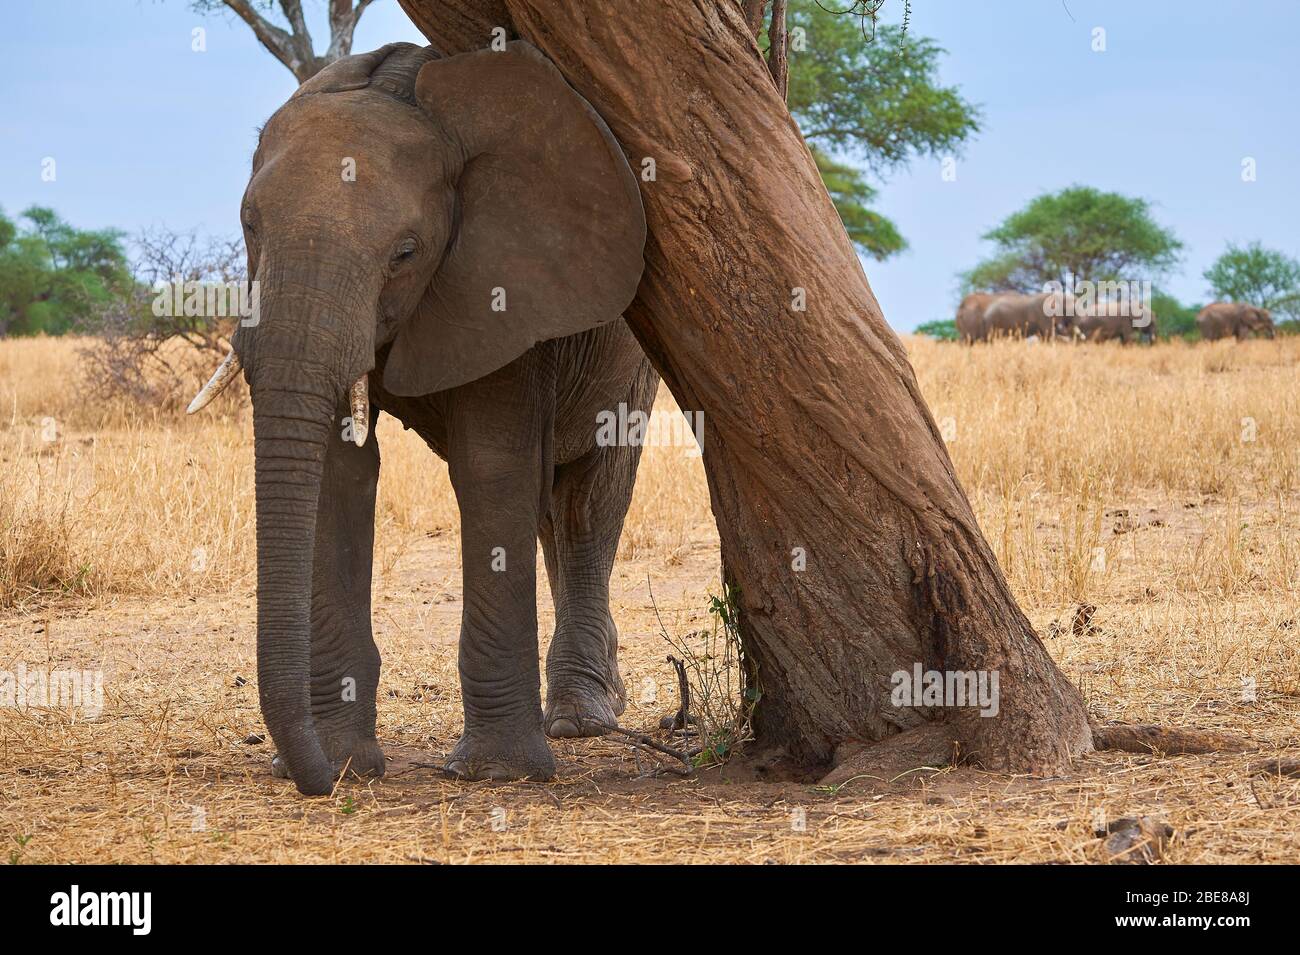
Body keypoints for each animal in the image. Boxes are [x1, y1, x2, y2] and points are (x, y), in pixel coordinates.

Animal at [187, 42, 658, 794]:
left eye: (406, 252)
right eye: (249, 224)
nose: (312, 778)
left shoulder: (505, 286)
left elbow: (491, 472)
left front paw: (499, 774)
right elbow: (341, 475)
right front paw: (346, 762)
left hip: (629, 359)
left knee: (589, 499)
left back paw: (581, 720)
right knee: (554, 509)